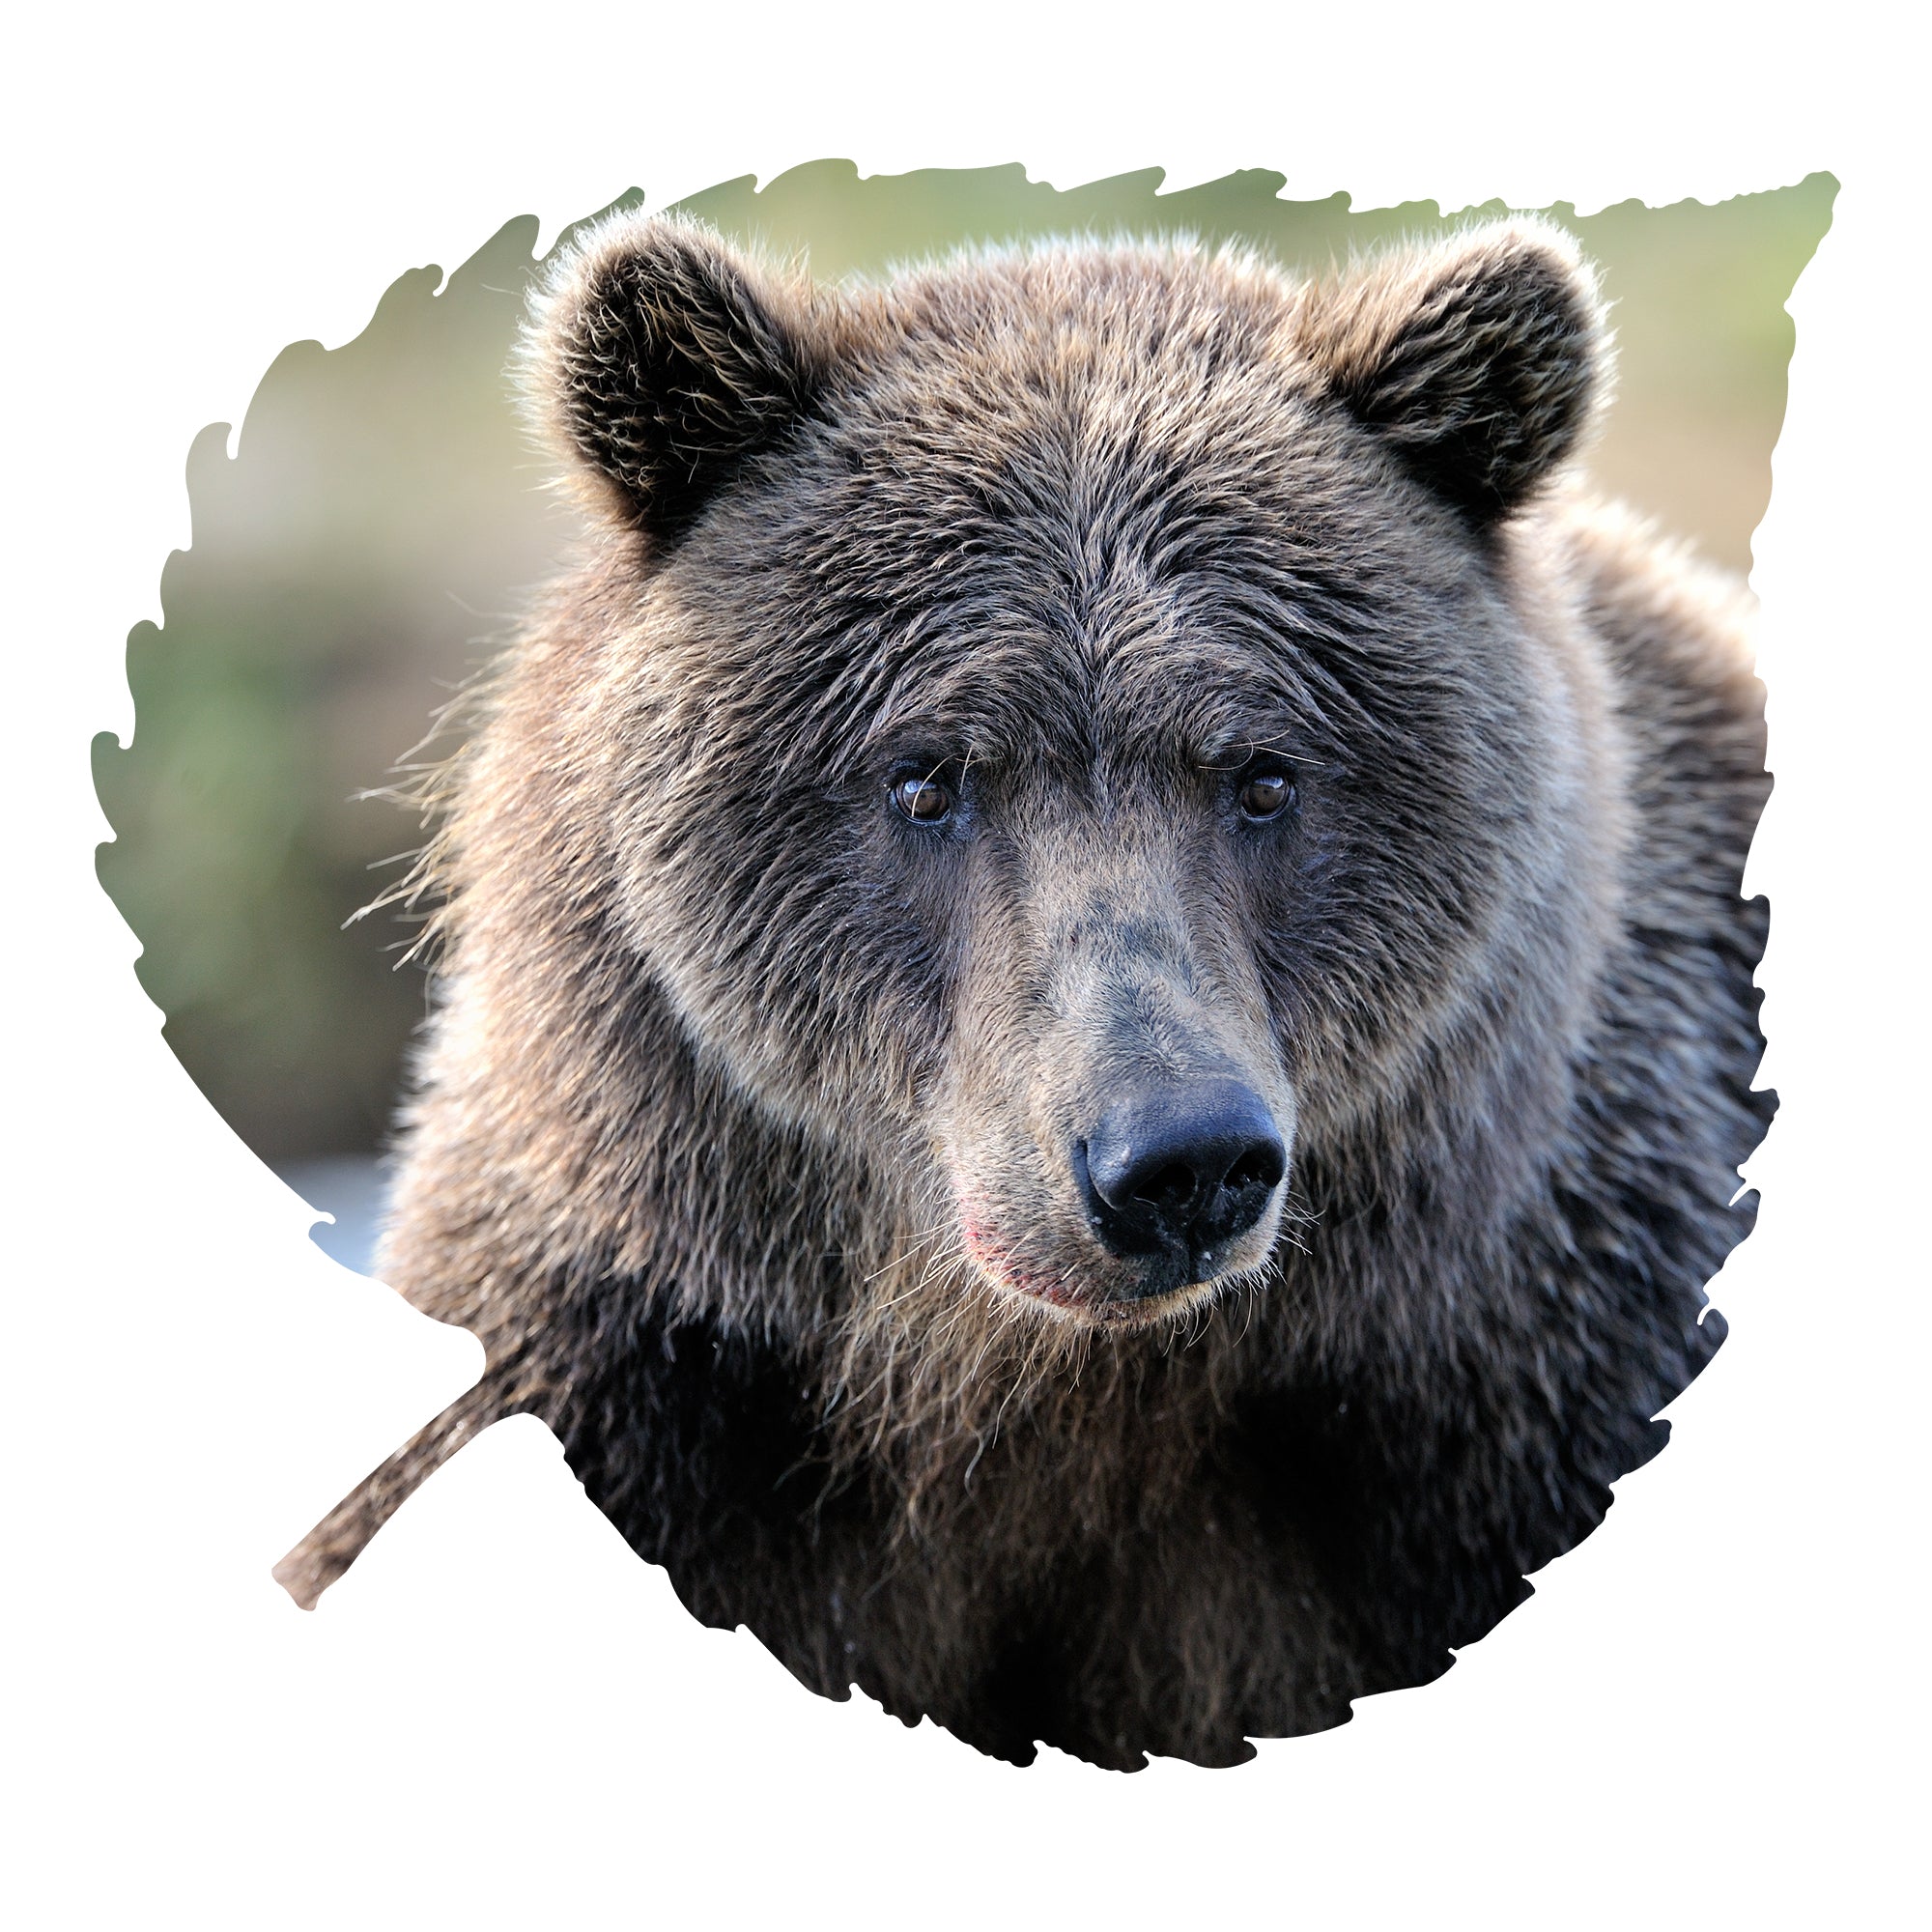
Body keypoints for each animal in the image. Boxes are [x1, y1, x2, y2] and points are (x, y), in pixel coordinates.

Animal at [275, 208, 1773, 1771]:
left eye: (1263, 773)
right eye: (927, 776)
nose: (1177, 1159)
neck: (1020, 1390)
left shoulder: (1530, 1372)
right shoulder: (628, 1374)